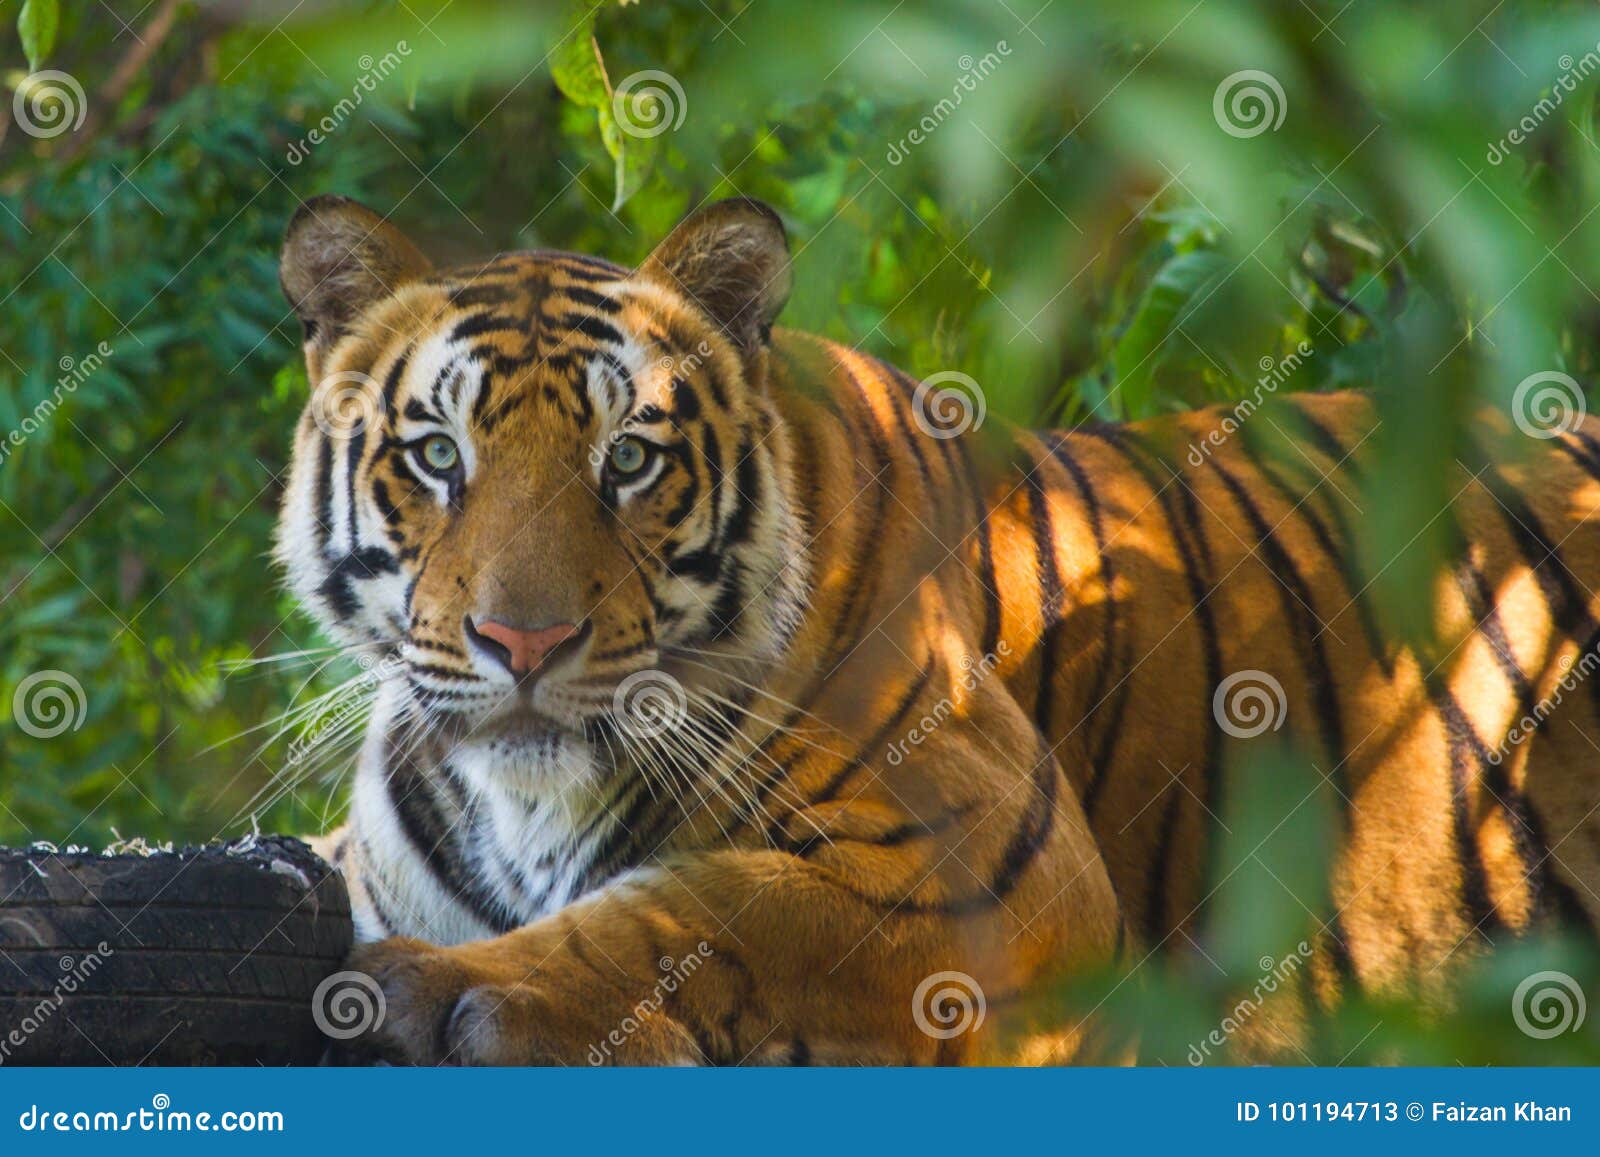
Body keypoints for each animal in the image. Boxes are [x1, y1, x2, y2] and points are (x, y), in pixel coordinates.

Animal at [275, 193, 1600, 1065]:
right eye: (438, 455)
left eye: (630, 460)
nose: (524, 643)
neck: (525, 807)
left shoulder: (1004, 869)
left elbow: (700, 898)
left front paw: (455, 991)